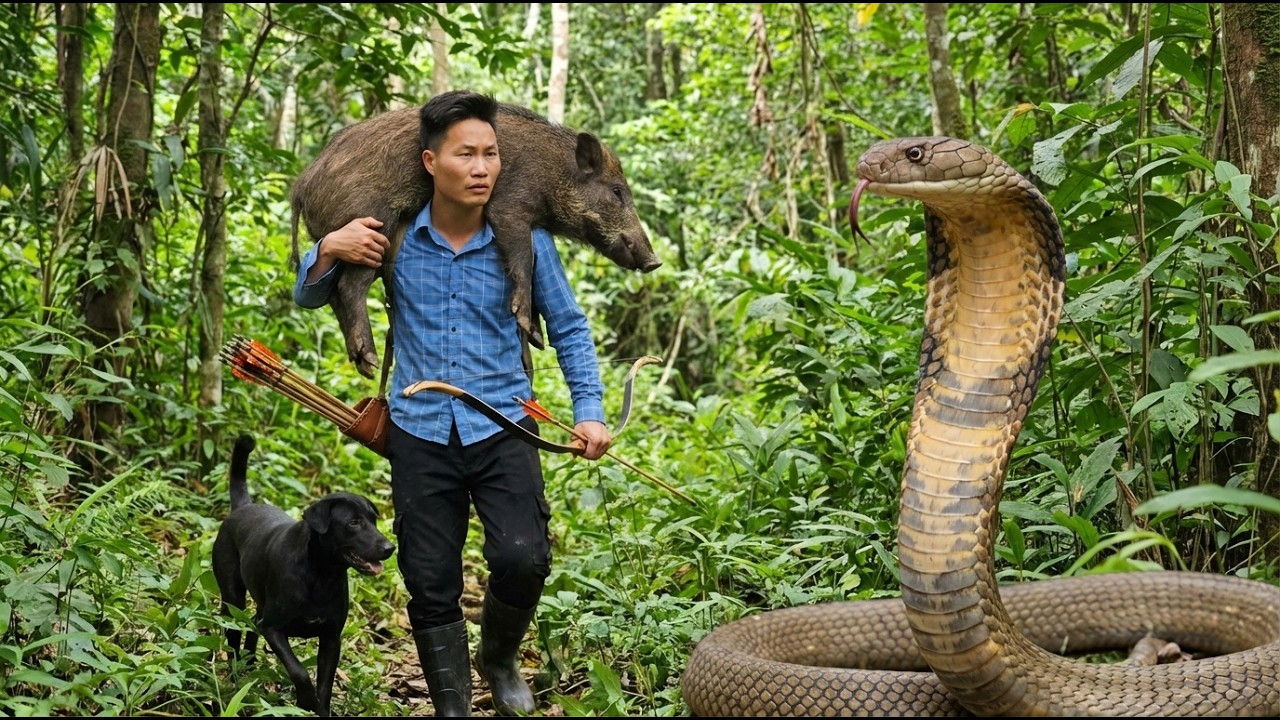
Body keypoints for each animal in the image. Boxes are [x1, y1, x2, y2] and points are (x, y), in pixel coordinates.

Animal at [289, 102, 661, 379]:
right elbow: (522, 259)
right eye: (617, 192)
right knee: (350, 287)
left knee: (332, 292)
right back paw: (368, 360)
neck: (554, 176)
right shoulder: (508, 208)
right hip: (371, 228)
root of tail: (302, 185)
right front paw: (526, 326)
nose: (654, 261)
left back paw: (362, 363)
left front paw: (535, 339)